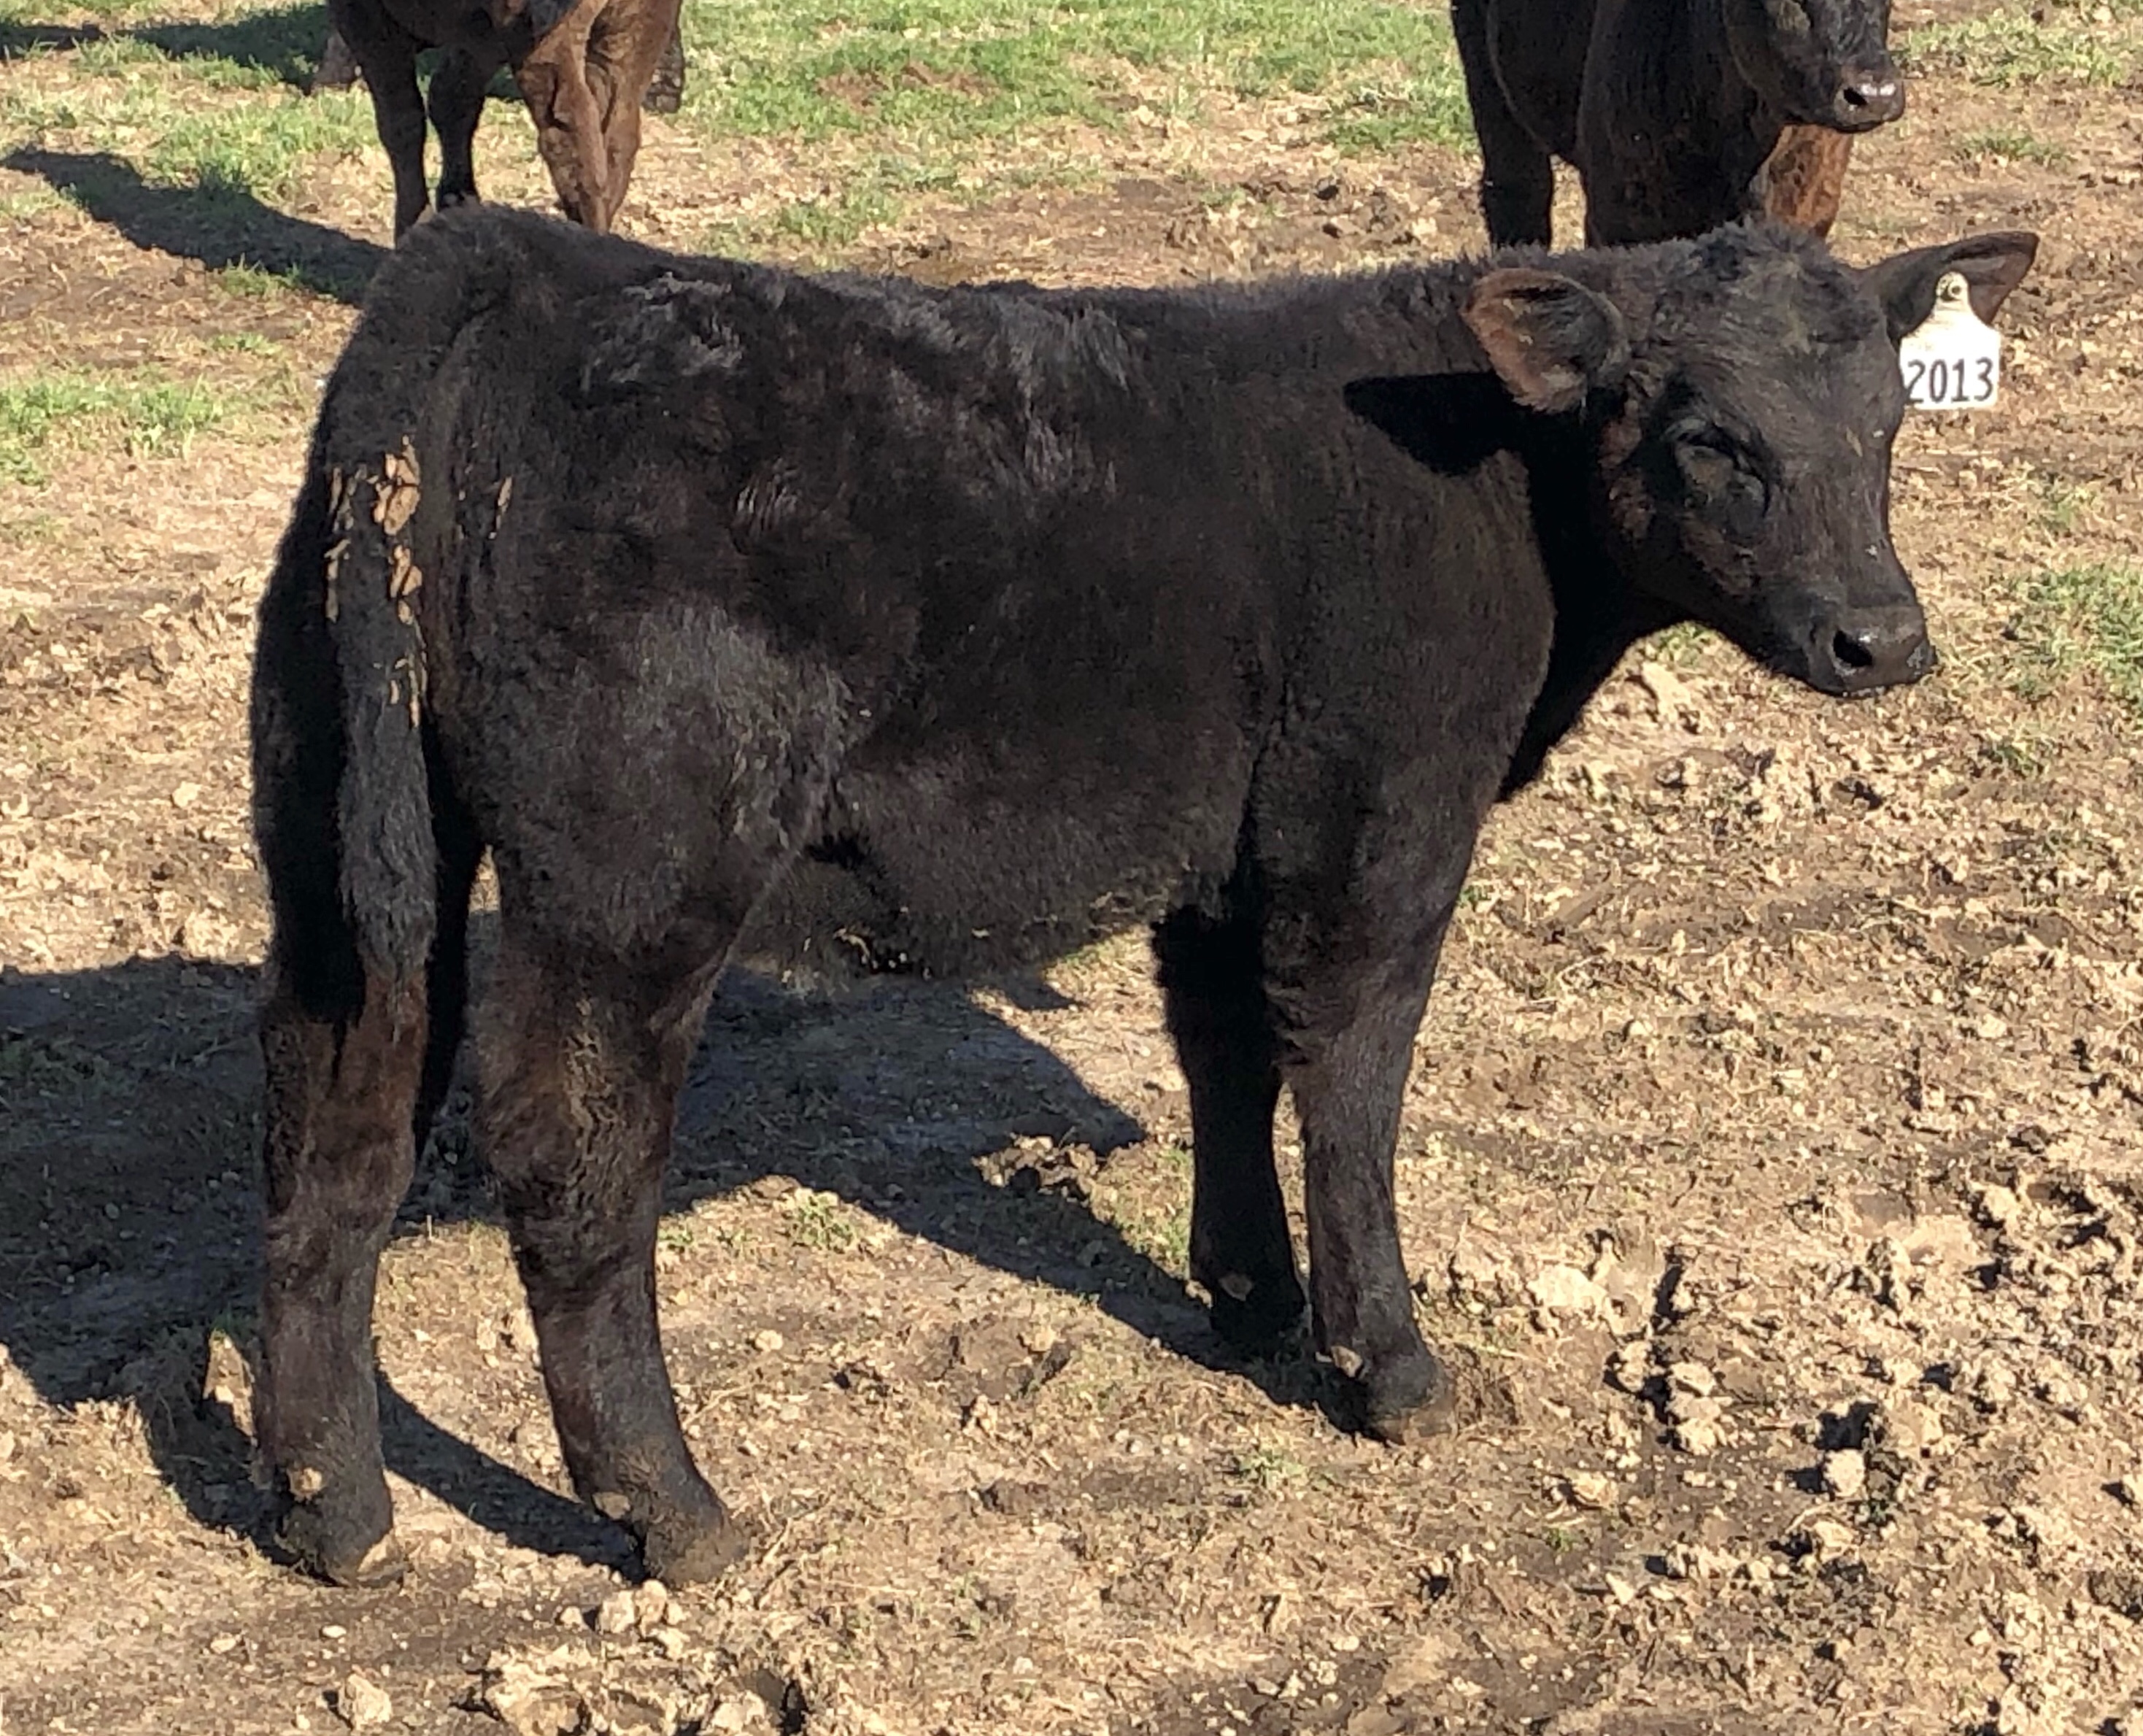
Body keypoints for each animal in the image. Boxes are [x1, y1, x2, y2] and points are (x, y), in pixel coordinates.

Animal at [250, 204, 2036, 1586]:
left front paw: (1244, 1291)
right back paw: (670, 1508)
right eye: (1710, 441)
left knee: (338, 1122)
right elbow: (1351, 1075)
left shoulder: (1221, 847)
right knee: (572, 1158)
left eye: (1884, 429)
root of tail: (515, 260)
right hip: (635, 884)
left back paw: (332, 1509)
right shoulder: (1378, 815)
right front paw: (1387, 1362)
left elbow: (1226, 1051)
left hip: (346, 855)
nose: (1880, 638)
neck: (1481, 482)